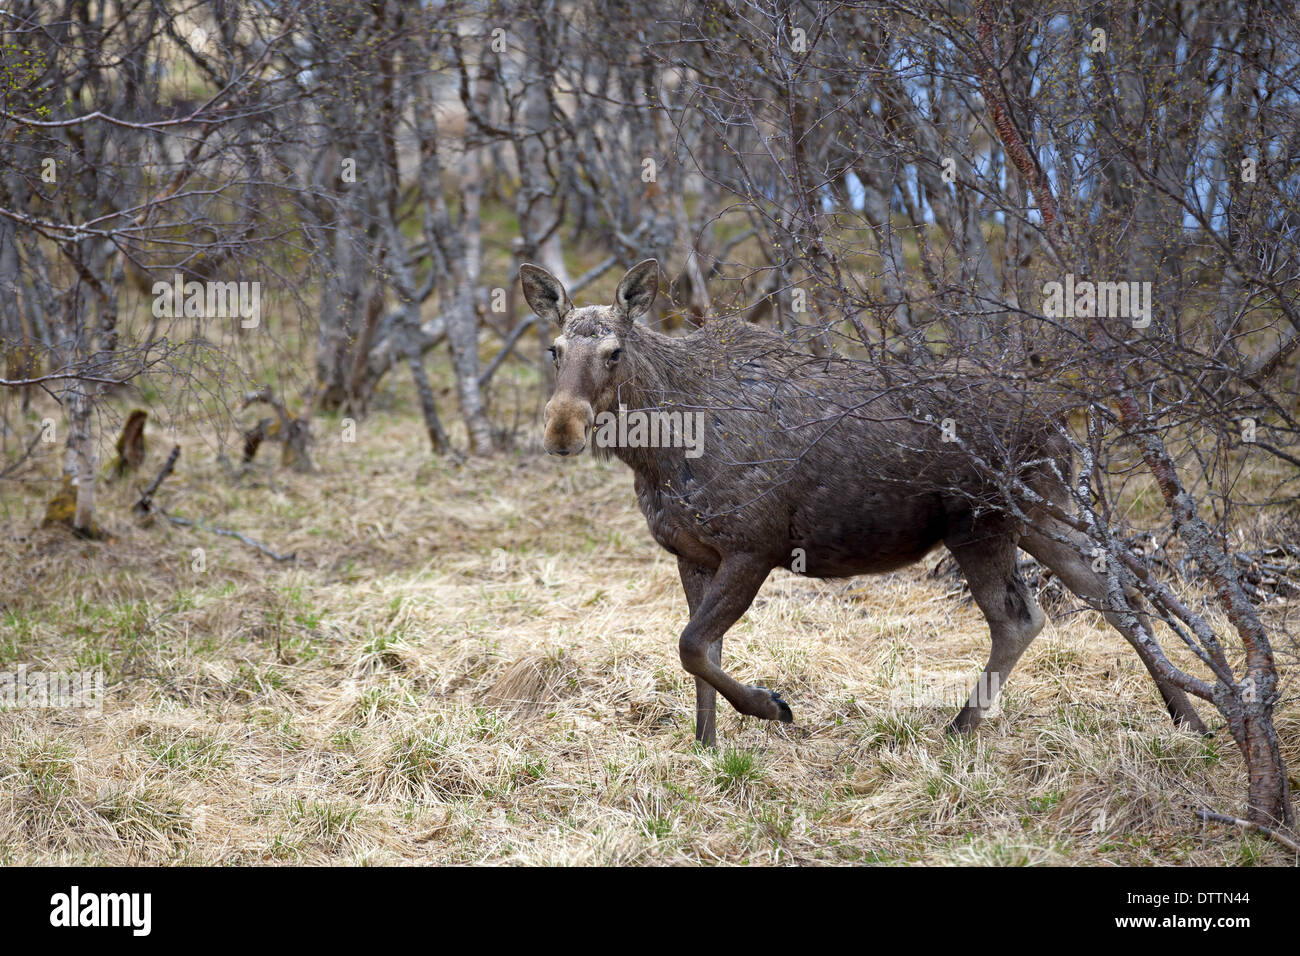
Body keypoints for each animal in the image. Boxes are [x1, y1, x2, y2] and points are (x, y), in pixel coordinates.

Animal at [520, 258, 1206, 746]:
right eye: (554, 350)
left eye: (614, 353)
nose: (561, 428)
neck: (658, 455)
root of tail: (1056, 418)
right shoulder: (691, 552)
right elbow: (700, 654)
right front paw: (706, 745)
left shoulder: (754, 546)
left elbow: (691, 646)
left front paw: (772, 706)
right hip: (1040, 514)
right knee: (1116, 596)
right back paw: (1190, 718)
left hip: (981, 524)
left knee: (1023, 617)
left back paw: (959, 728)